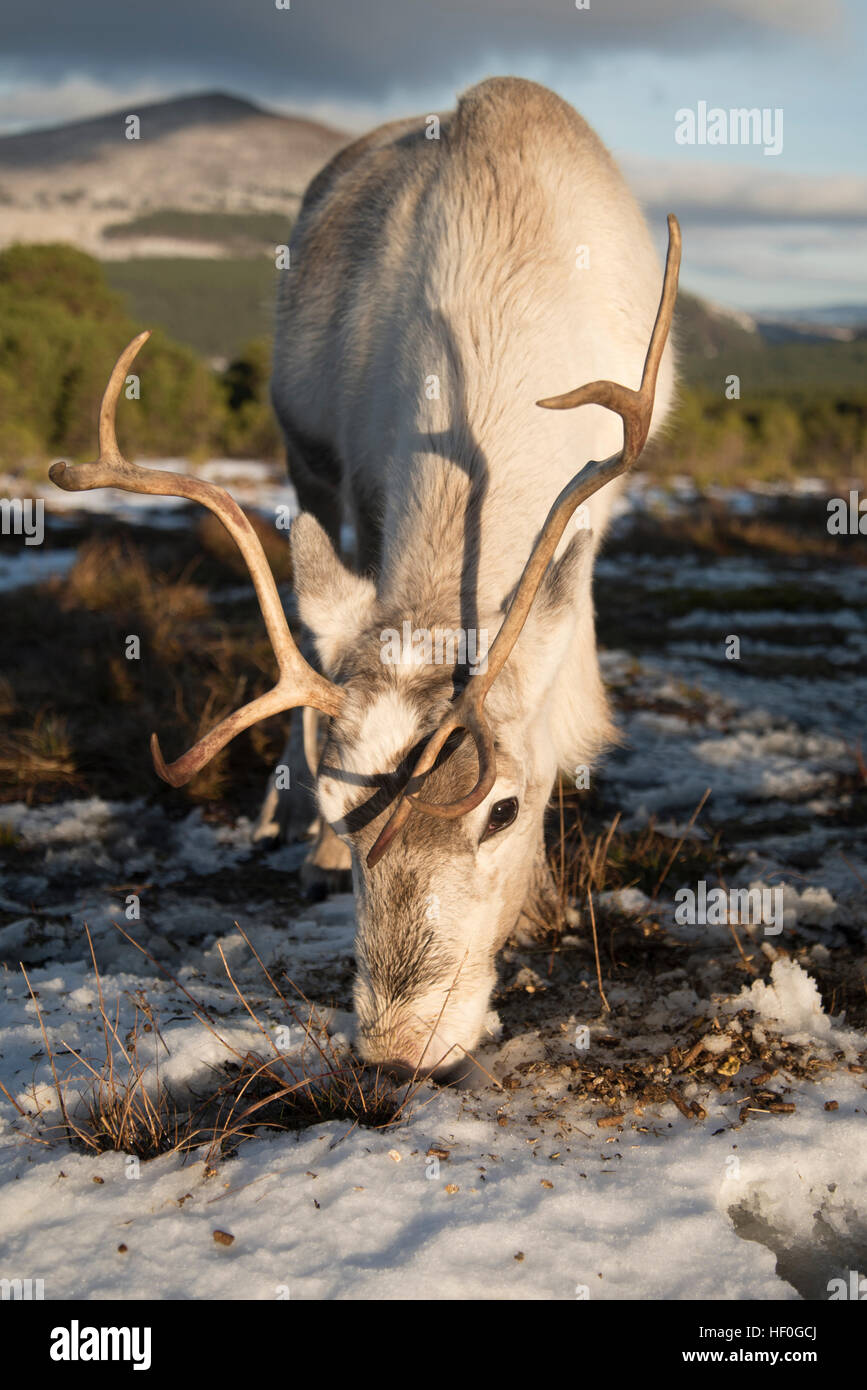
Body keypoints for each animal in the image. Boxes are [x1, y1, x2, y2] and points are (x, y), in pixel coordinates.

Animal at [50, 78, 679, 1080]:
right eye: (347, 807)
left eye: (502, 811)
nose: (398, 1047)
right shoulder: (359, 470)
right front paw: (311, 836)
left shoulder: (601, 501)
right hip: (304, 453)